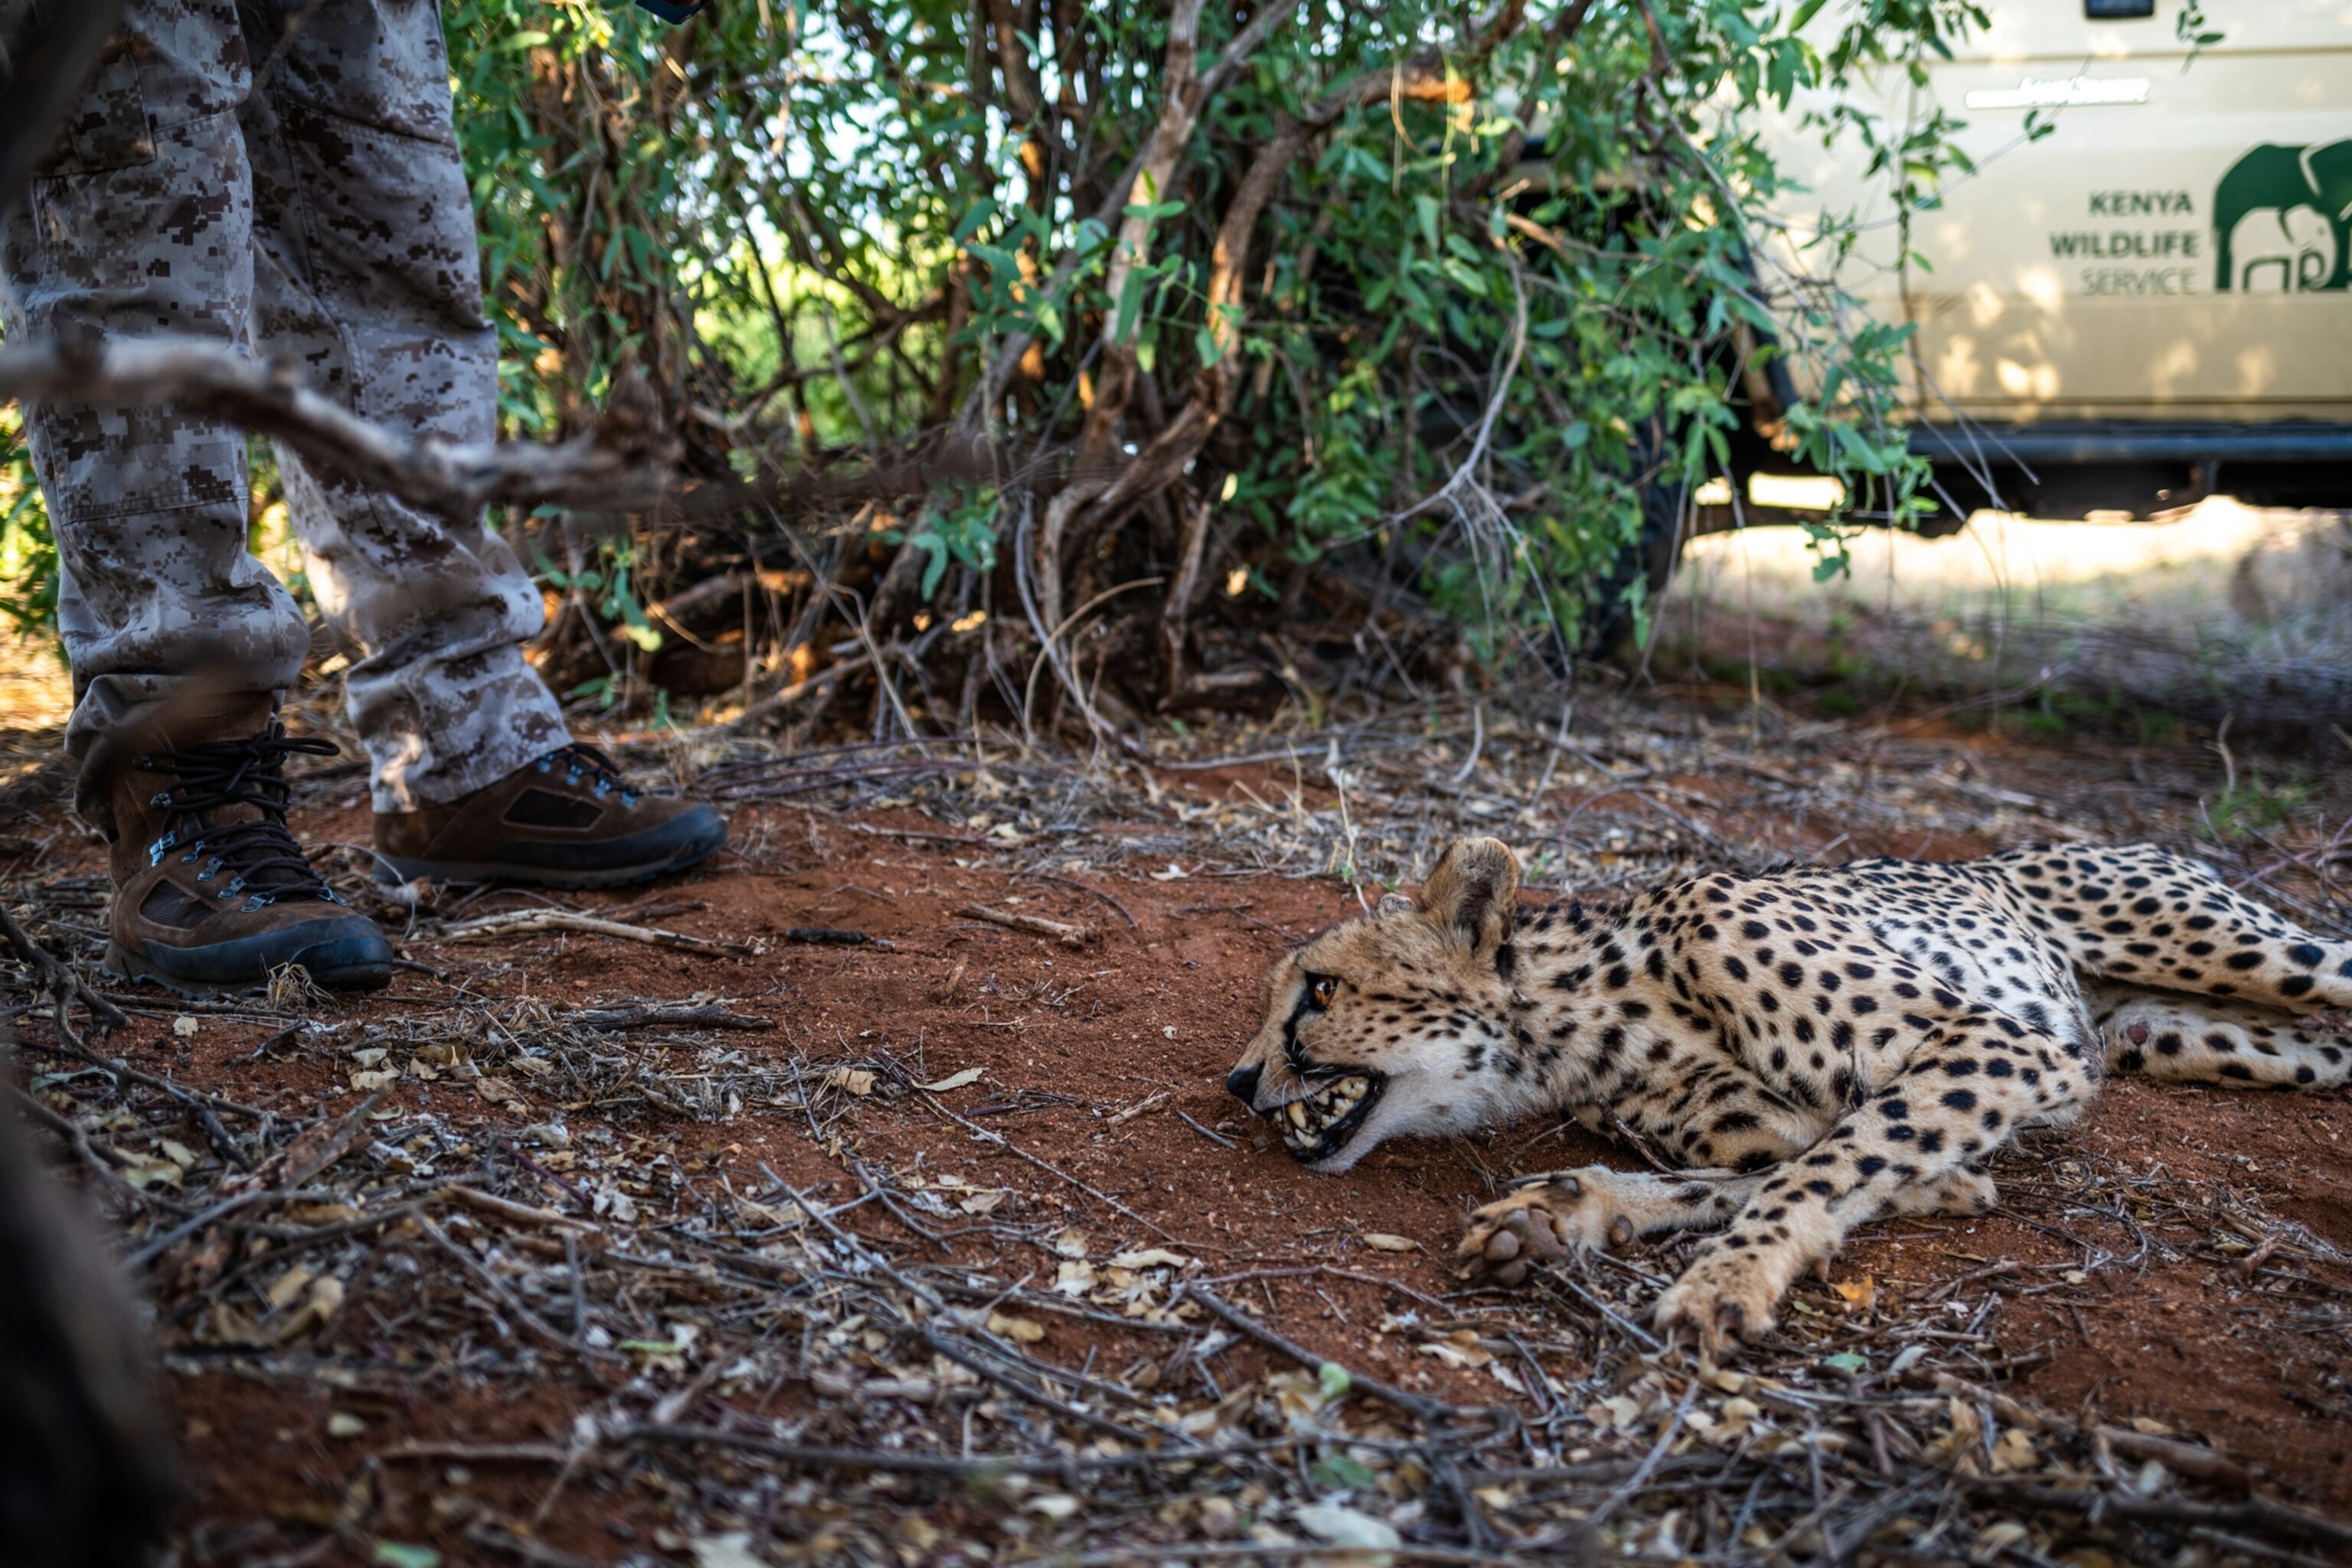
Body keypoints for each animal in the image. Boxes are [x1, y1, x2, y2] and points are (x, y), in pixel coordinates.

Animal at [1224, 835, 2352, 1356]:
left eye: (1320, 990)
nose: (1239, 1080)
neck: (1578, 1019)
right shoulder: (1765, 1126)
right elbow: (1784, 1163)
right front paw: (1559, 1215)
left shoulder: (2001, 1041)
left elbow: (1834, 1160)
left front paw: (1731, 1279)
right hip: (2174, 1033)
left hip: (2242, 949)